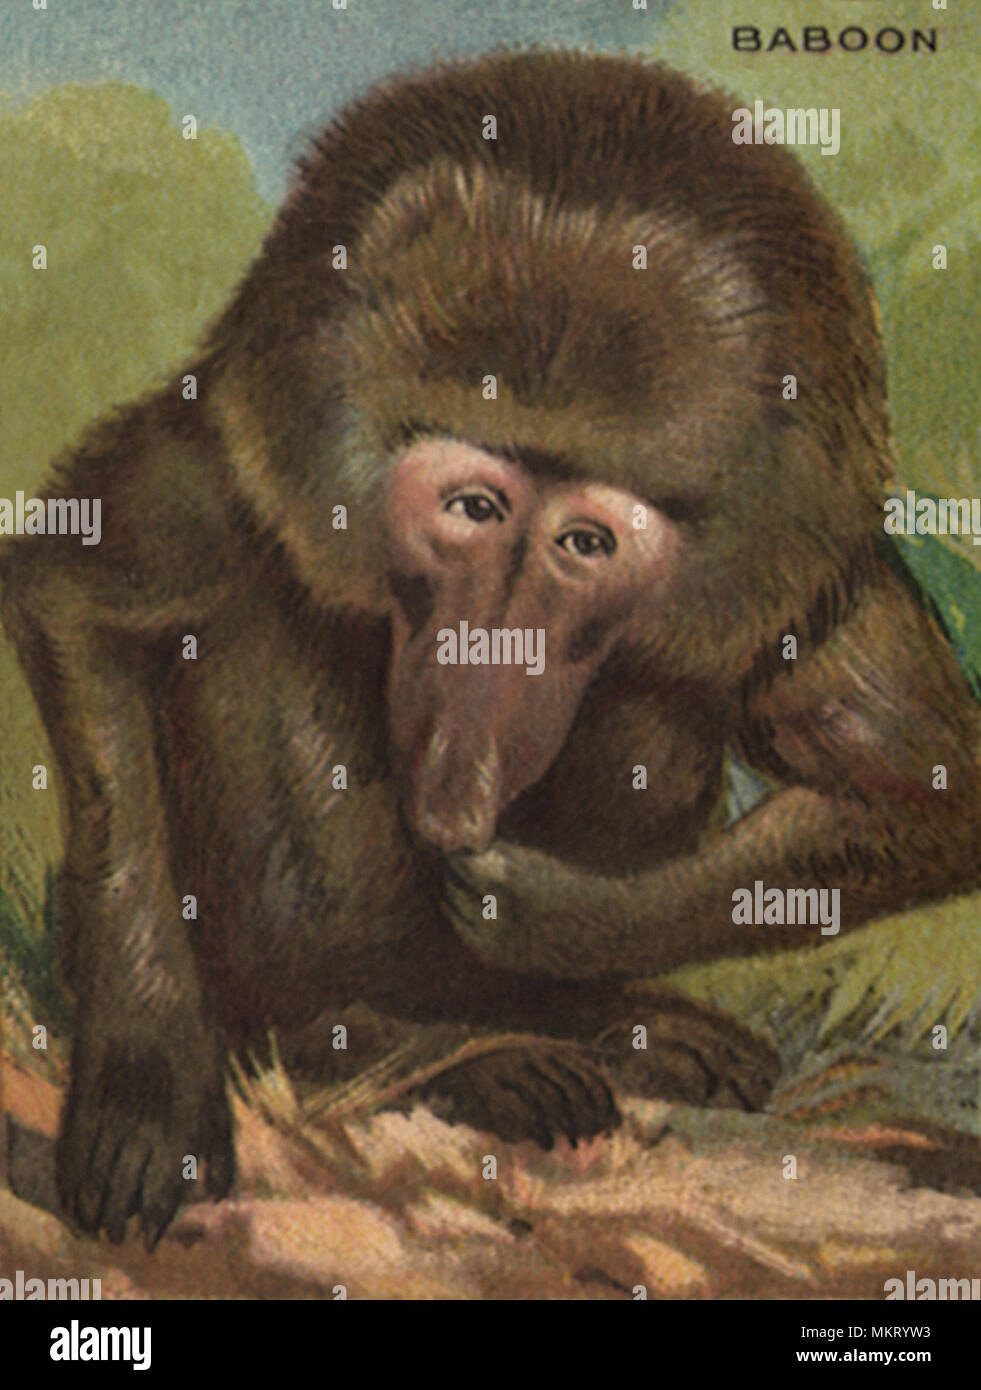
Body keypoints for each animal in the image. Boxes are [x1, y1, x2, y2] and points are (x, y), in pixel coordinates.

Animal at [2, 50, 980, 1247]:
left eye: (585, 543)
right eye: (472, 507)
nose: (491, 645)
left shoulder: (798, 538)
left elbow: (926, 789)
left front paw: (558, 917)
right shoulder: (253, 442)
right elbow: (80, 596)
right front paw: (146, 1078)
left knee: (649, 700)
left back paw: (586, 1016)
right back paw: (392, 1041)